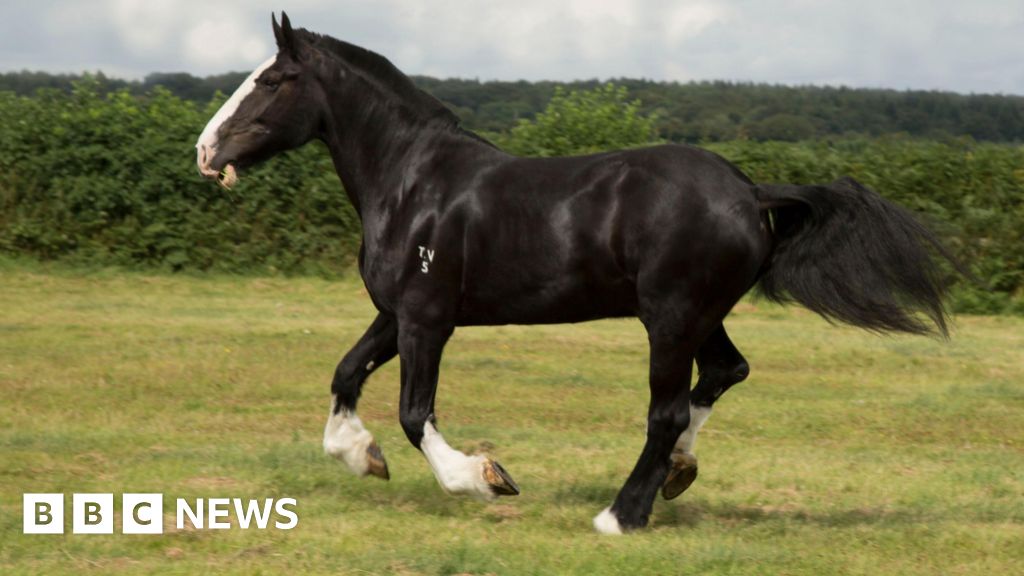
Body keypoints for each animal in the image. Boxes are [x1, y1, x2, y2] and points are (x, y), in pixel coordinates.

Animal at [196, 13, 954, 534]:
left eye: (273, 80)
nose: (206, 150)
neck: (414, 183)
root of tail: (750, 192)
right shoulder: (395, 314)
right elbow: (345, 375)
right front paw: (361, 456)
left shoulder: (427, 320)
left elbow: (414, 414)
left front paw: (485, 478)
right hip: (700, 316)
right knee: (724, 374)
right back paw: (678, 472)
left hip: (670, 318)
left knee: (665, 411)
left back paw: (621, 516)